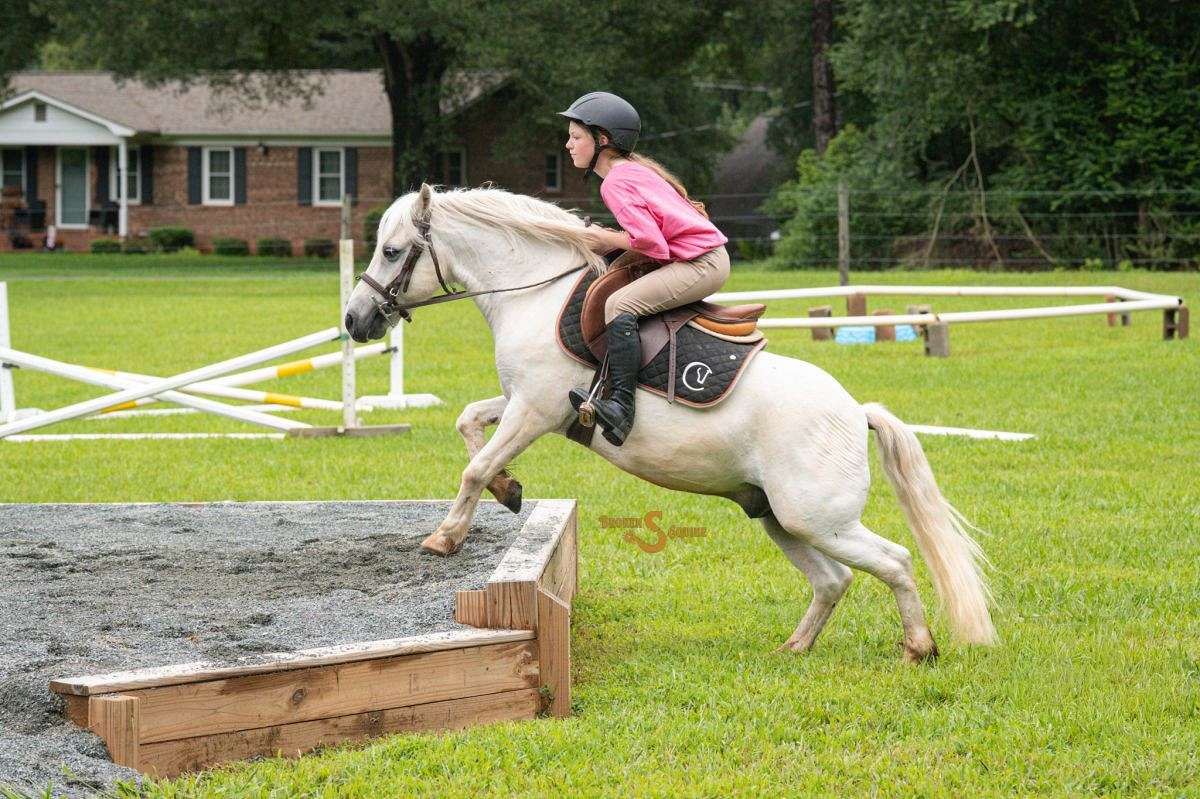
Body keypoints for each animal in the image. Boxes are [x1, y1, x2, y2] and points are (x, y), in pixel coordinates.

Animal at [344, 184, 996, 660]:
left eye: (393, 251)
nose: (354, 320)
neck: (535, 295)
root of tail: (856, 413)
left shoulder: (537, 409)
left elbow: (475, 467)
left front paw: (446, 537)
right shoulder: (530, 403)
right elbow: (468, 425)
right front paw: (510, 490)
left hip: (820, 519)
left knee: (897, 561)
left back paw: (919, 648)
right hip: (780, 516)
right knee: (833, 581)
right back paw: (795, 647)